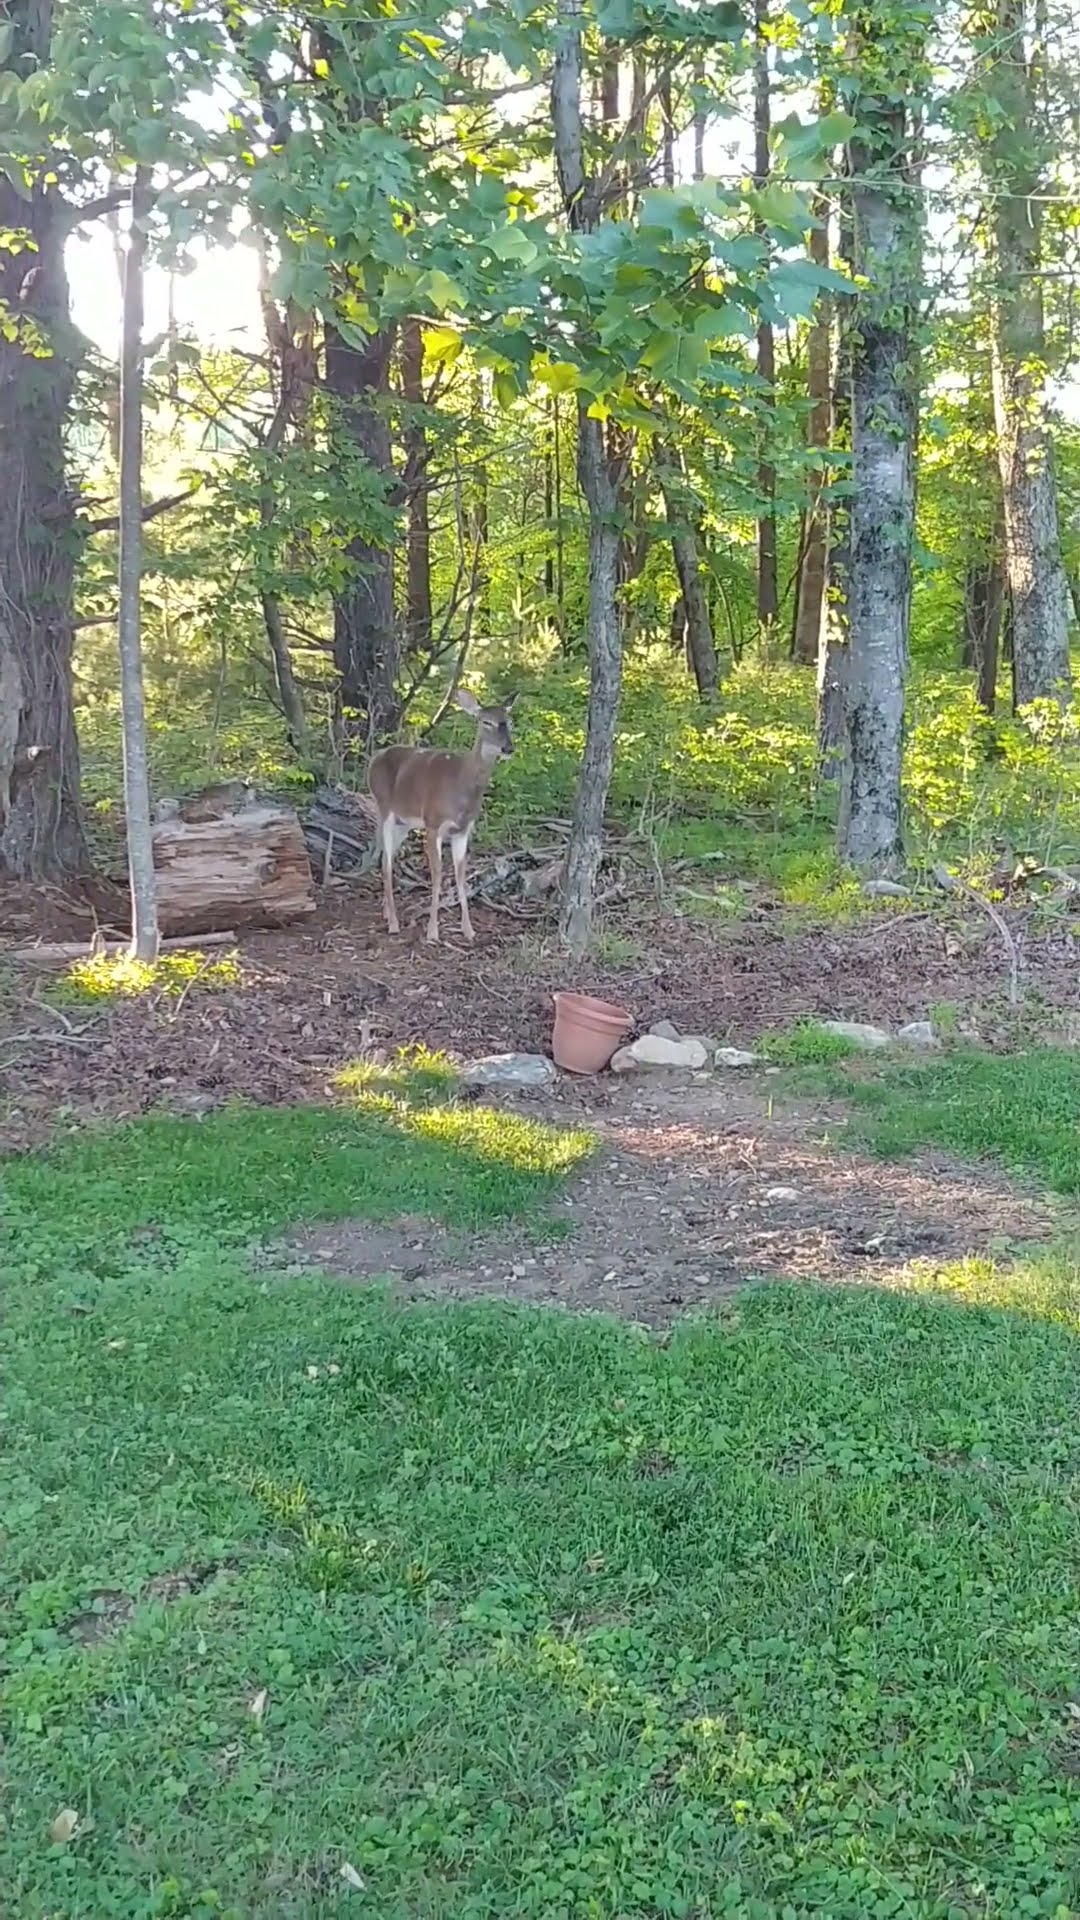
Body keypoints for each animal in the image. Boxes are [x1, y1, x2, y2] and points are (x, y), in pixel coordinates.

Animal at [366, 689, 517, 945]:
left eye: (510, 722)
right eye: (486, 722)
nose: (508, 749)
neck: (461, 788)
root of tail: (375, 758)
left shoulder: (463, 830)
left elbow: (461, 875)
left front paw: (468, 930)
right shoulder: (433, 823)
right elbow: (437, 874)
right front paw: (432, 931)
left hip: (403, 823)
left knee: (386, 855)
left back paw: (387, 912)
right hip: (384, 807)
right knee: (386, 862)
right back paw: (394, 923)